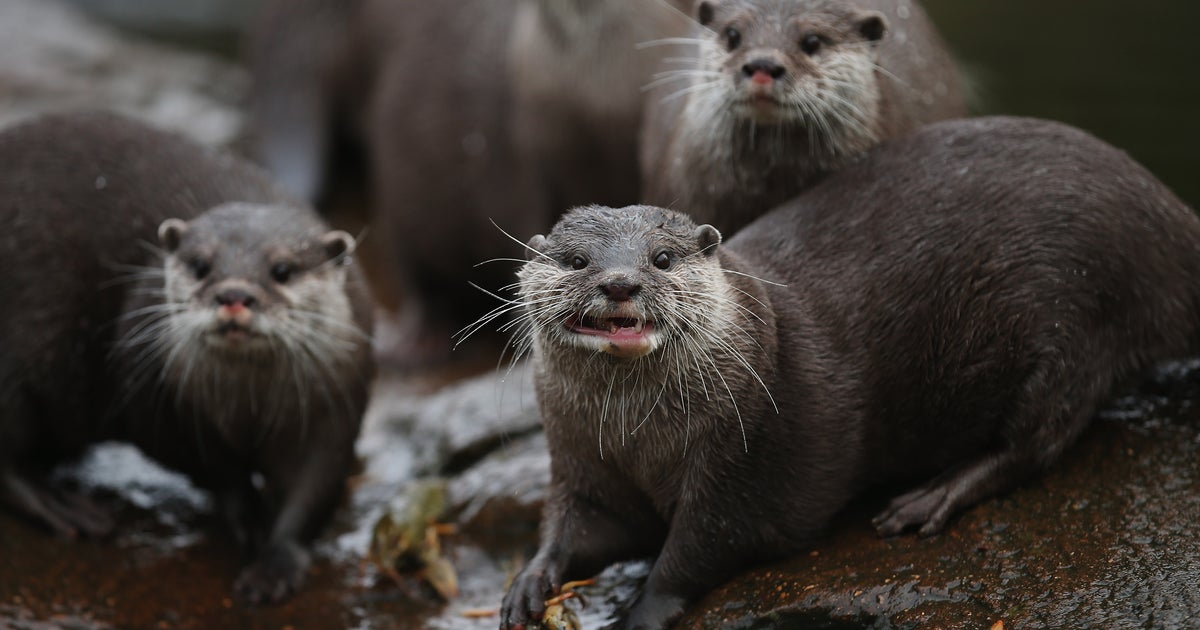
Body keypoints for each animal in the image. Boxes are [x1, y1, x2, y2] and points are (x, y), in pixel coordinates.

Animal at [0, 112, 375, 605]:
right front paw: (249, 515)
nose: (233, 295)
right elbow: (212, 468)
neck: (246, 410)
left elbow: (313, 487)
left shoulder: (335, 407)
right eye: (200, 265)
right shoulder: (157, 402)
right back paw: (62, 506)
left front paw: (274, 563)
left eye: (282, 270)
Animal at [499, 117, 1200, 629]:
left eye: (662, 258)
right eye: (576, 260)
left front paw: (640, 611)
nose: (620, 282)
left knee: (1040, 439)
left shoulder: (745, 460)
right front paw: (528, 582)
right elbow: (576, 528)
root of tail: (1171, 224)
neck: (637, 441)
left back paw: (930, 498)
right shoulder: (582, 464)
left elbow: (699, 548)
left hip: (1074, 324)